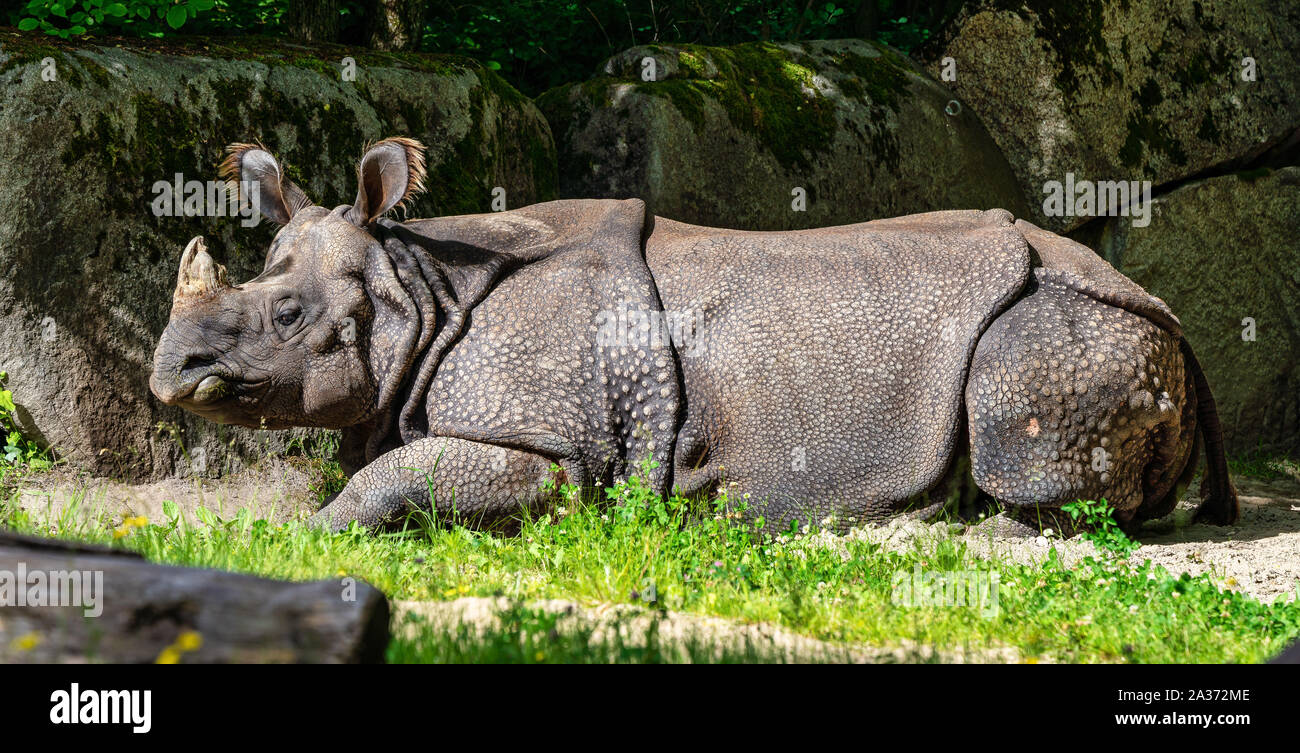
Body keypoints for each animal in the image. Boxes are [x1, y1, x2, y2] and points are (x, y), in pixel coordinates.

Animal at [150, 138, 1237, 534]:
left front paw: (297, 537)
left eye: (288, 317)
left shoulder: (557, 446)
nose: (169, 372)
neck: (419, 287)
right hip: (1109, 325)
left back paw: (968, 532)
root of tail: (1169, 312)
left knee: (1022, 421)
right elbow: (375, 460)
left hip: (1068, 321)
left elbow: (390, 480)